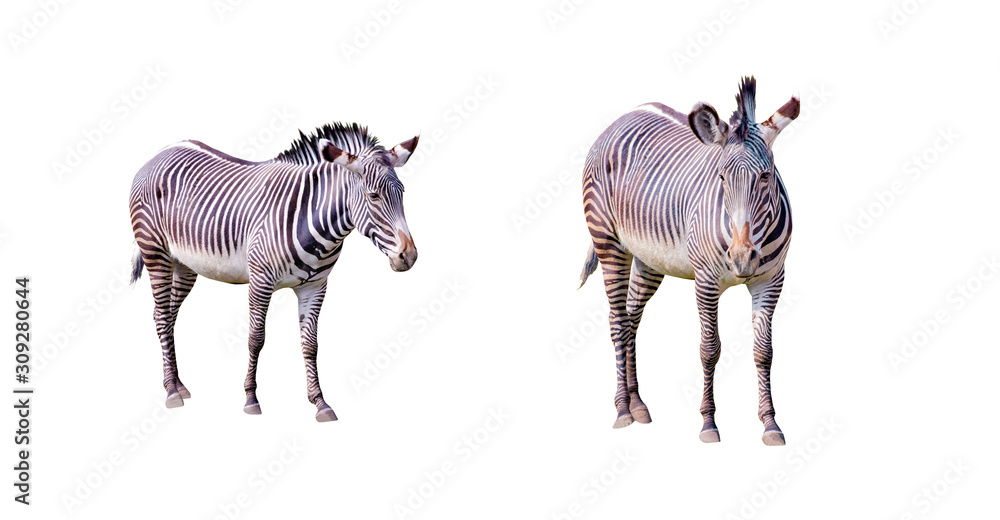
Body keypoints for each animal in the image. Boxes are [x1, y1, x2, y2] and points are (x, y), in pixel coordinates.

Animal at [129, 122, 419, 422]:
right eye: (374, 196)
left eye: (402, 193)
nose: (408, 256)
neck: (314, 222)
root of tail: (162, 151)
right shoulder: (260, 281)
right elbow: (256, 338)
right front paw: (250, 398)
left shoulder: (315, 286)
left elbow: (310, 344)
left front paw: (320, 402)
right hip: (155, 252)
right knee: (162, 317)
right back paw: (171, 393)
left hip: (184, 265)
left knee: (167, 316)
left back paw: (178, 384)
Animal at [579, 77, 798, 445]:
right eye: (721, 178)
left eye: (766, 176)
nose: (742, 258)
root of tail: (625, 115)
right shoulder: (706, 281)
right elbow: (710, 349)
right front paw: (708, 422)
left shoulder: (771, 279)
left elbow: (764, 351)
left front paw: (770, 423)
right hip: (609, 243)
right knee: (617, 321)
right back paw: (623, 410)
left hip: (649, 260)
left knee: (632, 317)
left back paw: (638, 404)